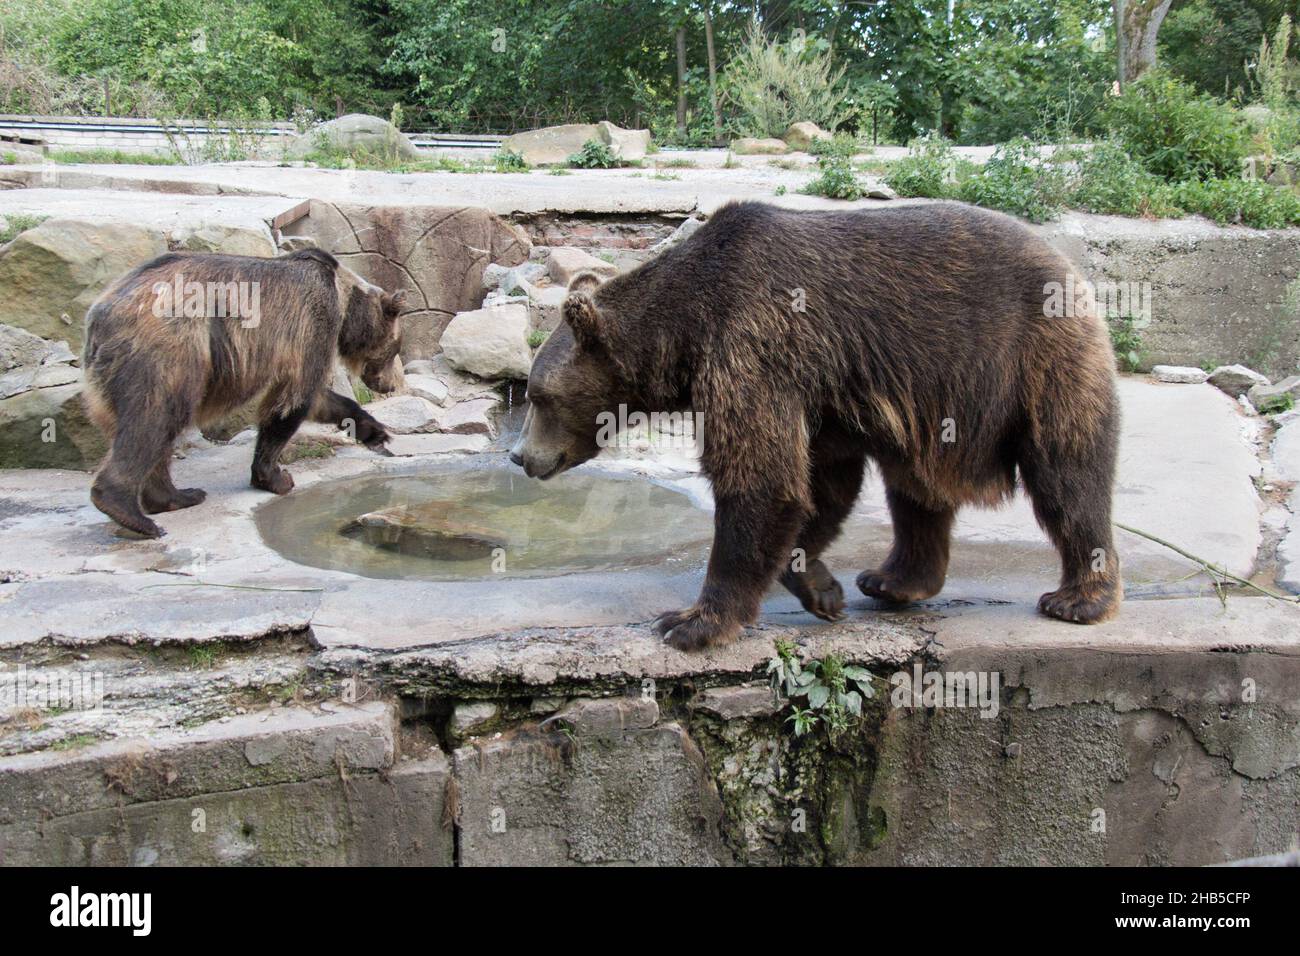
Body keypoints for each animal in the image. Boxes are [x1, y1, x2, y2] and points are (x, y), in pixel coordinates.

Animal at [83, 248, 405, 538]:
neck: (345, 302)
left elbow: (322, 400)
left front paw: (374, 432)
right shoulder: (310, 325)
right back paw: (132, 513)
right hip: (170, 349)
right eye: (396, 348)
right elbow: (294, 399)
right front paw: (277, 477)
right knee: (154, 419)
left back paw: (177, 496)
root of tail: (100, 315)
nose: (390, 385)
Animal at [510, 200, 1122, 651]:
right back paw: (893, 579)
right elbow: (819, 482)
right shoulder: (819, 391)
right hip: (935, 406)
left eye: (537, 396)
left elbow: (760, 481)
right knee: (915, 490)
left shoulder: (752, 347)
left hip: (1036, 362)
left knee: (1068, 474)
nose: (520, 456)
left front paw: (689, 622)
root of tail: (1071, 267)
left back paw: (1079, 598)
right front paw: (822, 588)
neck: (684, 331)